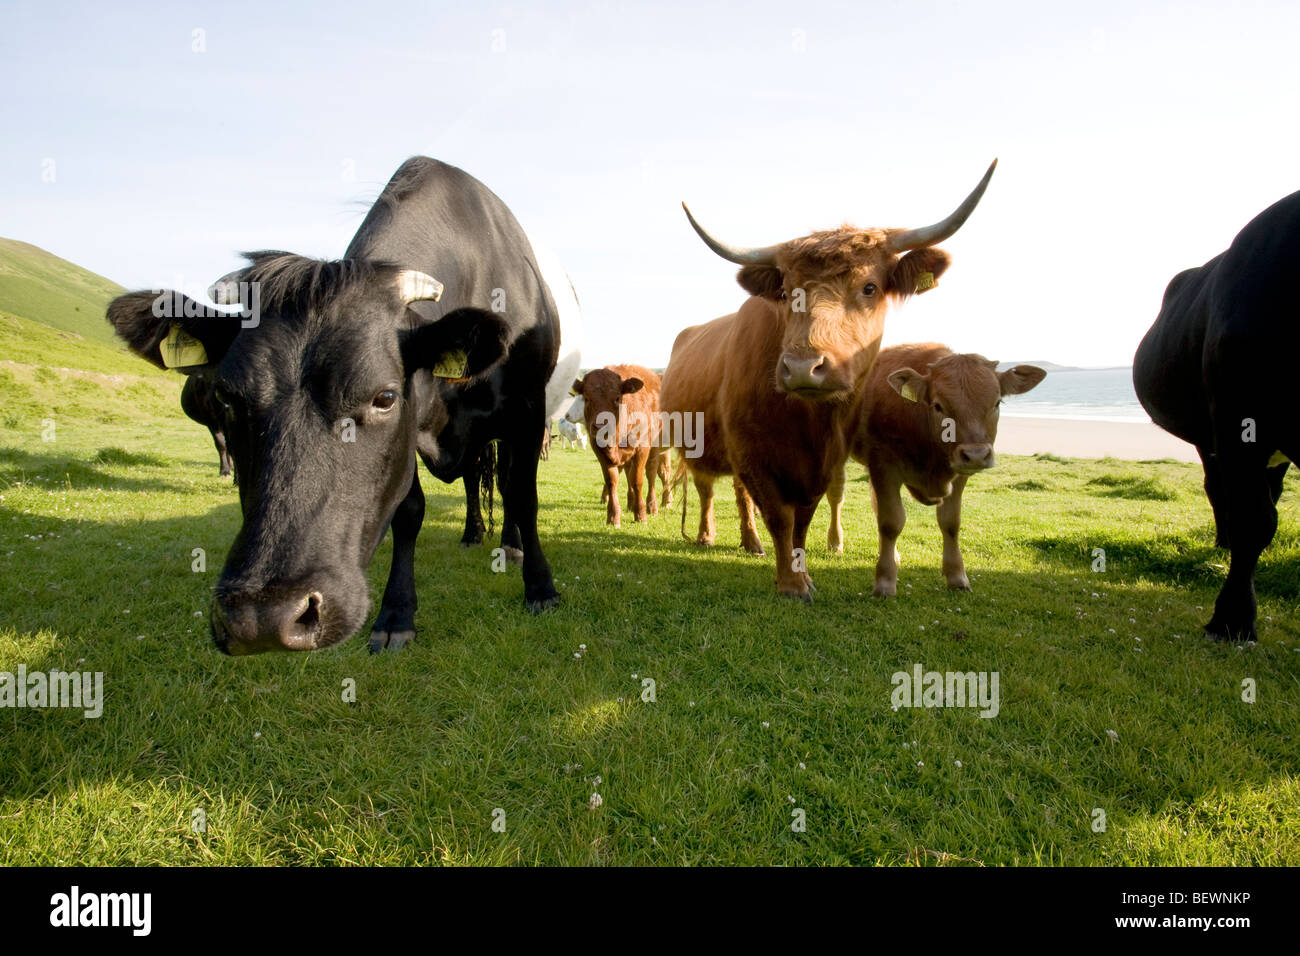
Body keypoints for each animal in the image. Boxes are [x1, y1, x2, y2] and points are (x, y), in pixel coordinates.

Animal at [107, 156, 568, 655]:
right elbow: (408, 510)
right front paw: (396, 615)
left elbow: (523, 495)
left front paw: (541, 589)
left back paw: (511, 544)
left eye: (385, 396)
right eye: (227, 396)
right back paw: (473, 533)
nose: (263, 619)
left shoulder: (528, 412)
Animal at [572, 364, 670, 525]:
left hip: (655, 447)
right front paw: (613, 516)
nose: (601, 426)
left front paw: (640, 514)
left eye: (617, 398)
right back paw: (630, 504)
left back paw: (652, 506)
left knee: (651, 475)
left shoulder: (642, 448)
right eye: (586, 398)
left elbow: (637, 480)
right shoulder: (598, 449)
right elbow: (612, 481)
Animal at [660, 160, 997, 600]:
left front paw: (803, 574)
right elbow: (781, 518)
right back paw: (706, 535)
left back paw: (751, 542)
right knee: (707, 489)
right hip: (694, 444)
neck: (805, 420)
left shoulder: (824, 463)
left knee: (738, 495)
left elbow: (801, 521)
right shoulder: (753, 454)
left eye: (869, 287)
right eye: (786, 291)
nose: (803, 367)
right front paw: (791, 584)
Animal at [824, 344, 1045, 595]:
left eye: (997, 402)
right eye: (938, 405)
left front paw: (957, 576)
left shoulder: (957, 473)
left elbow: (950, 523)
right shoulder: (883, 465)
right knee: (836, 496)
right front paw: (885, 582)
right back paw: (835, 542)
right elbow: (891, 522)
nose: (977, 455)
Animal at [1133, 189, 1300, 642]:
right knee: (1219, 489)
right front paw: (1233, 619)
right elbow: (1253, 518)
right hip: (1208, 436)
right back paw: (1222, 541)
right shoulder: (1236, 417)